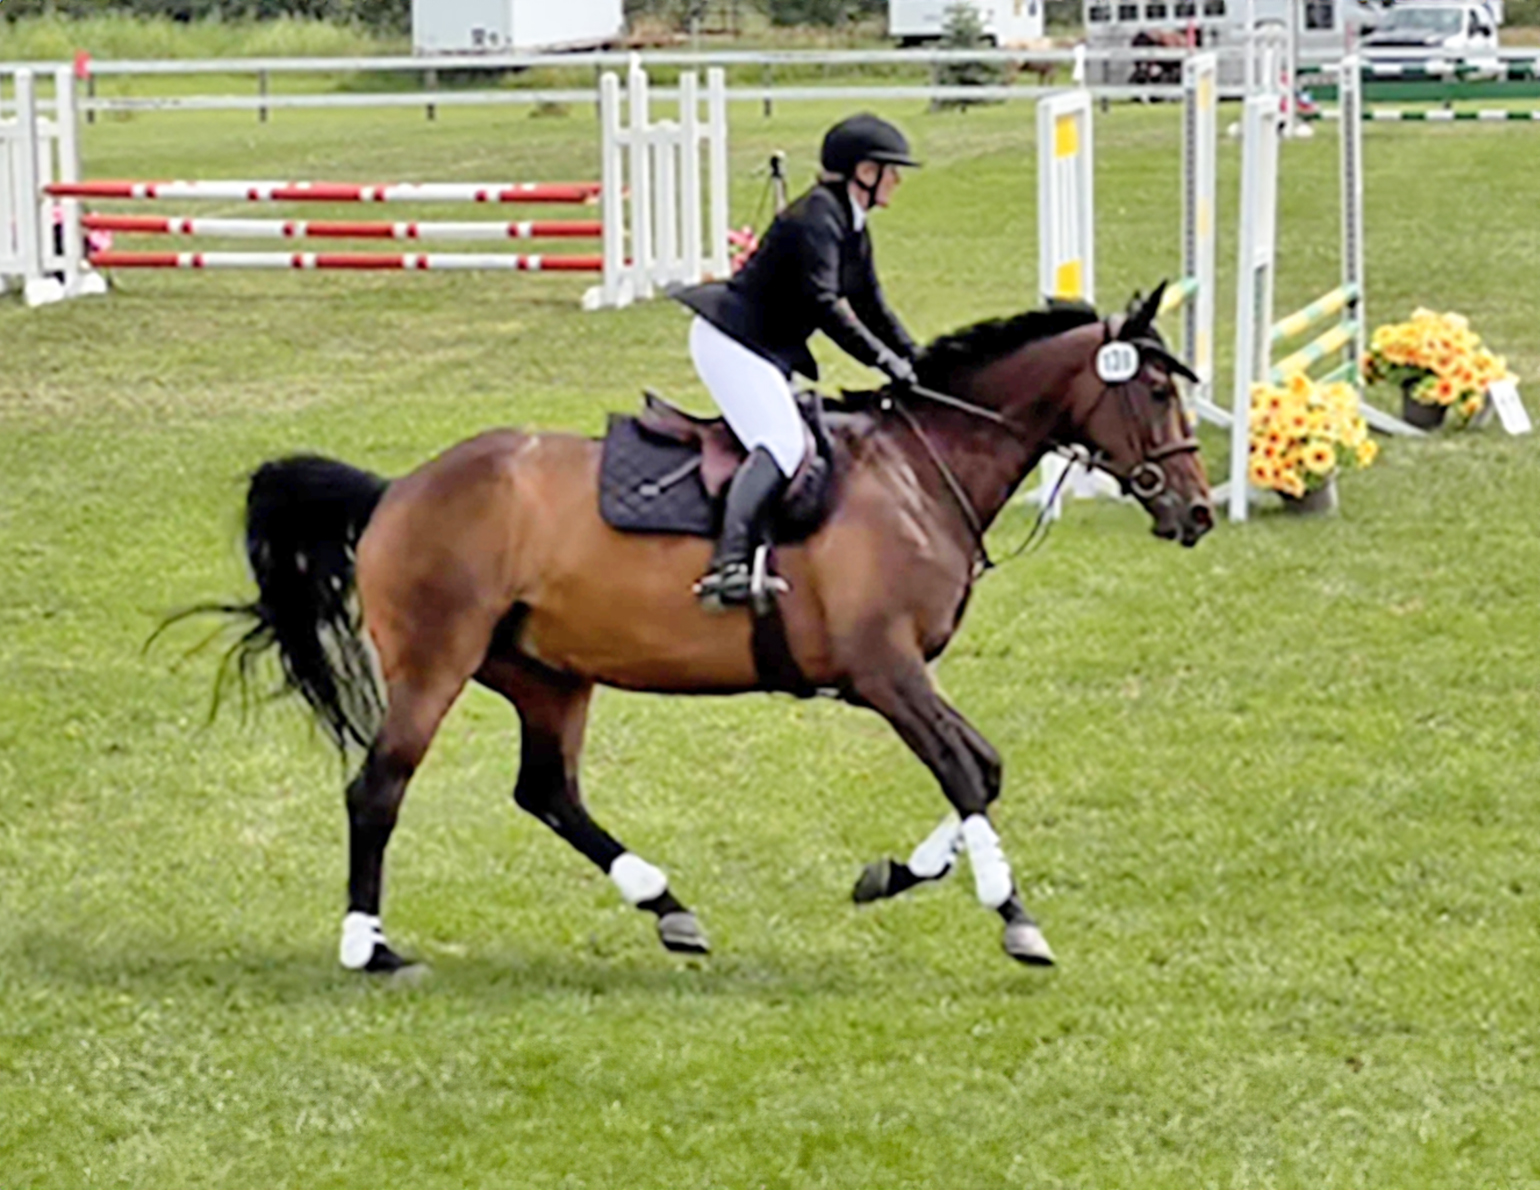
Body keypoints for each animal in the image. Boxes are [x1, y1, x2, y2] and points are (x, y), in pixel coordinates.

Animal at [202, 285, 1213, 974]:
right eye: (1157, 395)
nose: (1198, 513)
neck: (922, 472)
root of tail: (395, 490)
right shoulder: (885, 672)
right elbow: (966, 773)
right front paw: (1015, 918)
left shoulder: (896, 677)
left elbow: (986, 771)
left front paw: (890, 874)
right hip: (435, 664)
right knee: (378, 790)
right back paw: (369, 948)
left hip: (545, 673)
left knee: (547, 792)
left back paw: (666, 906)